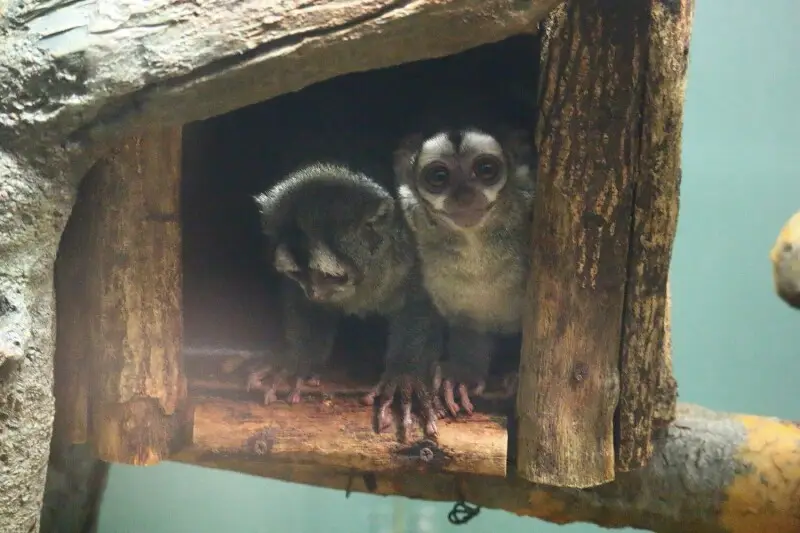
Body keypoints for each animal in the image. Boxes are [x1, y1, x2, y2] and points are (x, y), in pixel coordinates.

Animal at [250, 162, 442, 441]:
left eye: (328, 276)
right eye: (298, 274)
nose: (314, 292)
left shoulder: (411, 255)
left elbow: (422, 300)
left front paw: (404, 375)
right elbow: (302, 302)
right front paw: (297, 358)